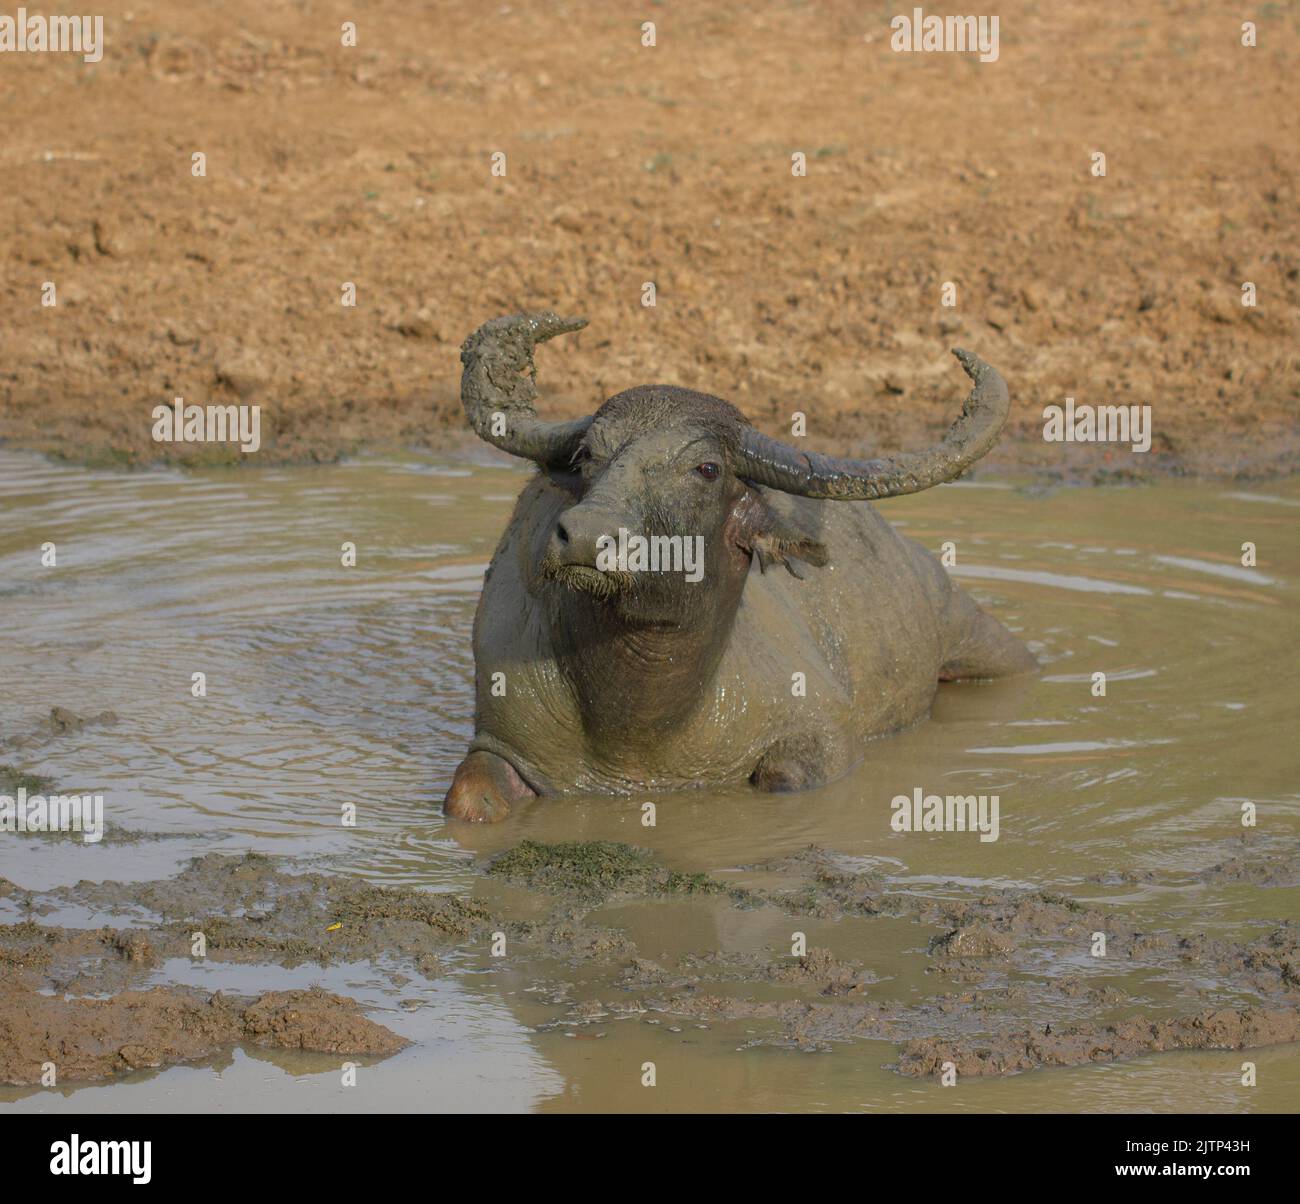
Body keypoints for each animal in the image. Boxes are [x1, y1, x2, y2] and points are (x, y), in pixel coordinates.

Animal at [444, 312, 1036, 821]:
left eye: (707, 469)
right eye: (588, 454)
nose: (586, 537)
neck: (639, 724)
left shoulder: (826, 736)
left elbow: (785, 776)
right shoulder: (502, 736)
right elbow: (466, 799)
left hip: (977, 635)